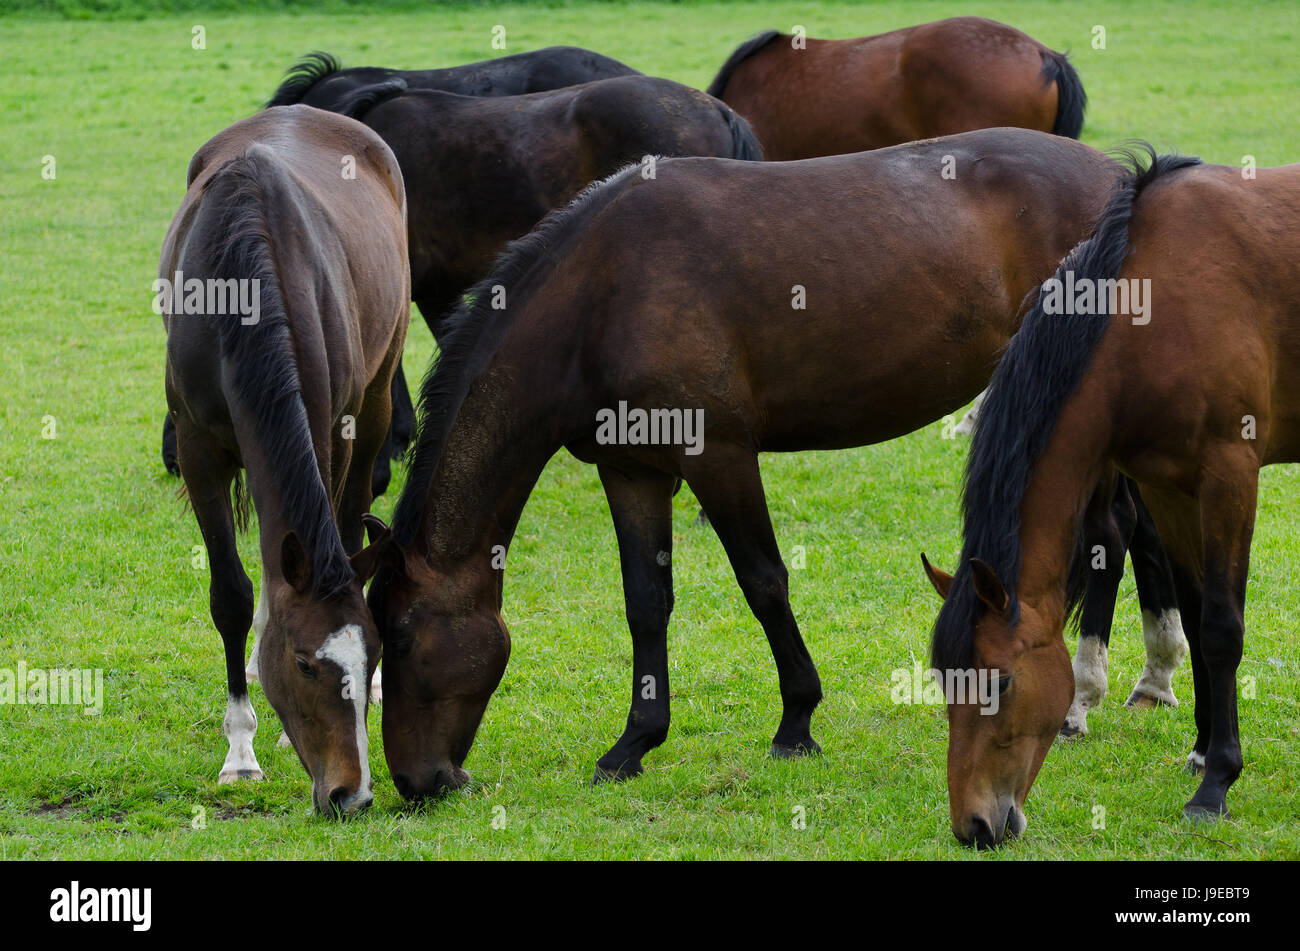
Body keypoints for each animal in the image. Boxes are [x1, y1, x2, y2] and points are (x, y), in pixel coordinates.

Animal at [160, 104, 409, 815]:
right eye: (303, 663)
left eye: (374, 655)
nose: (351, 794)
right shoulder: (196, 446)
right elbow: (233, 594)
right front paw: (240, 751)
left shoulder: (330, 428)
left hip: (375, 399)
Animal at [346, 128, 1177, 801]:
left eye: (405, 639)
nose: (418, 782)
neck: (601, 292)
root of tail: (1123, 181)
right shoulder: (633, 468)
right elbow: (645, 601)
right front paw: (634, 741)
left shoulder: (718, 454)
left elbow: (764, 581)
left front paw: (797, 720)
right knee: (1130, 530)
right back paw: (1149, 679)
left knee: (1111, 536)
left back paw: (1084, 699)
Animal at [923, 147, 1298, 847]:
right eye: (942, 682)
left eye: (1001, 681)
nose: (974, 827)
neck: (1150, 306)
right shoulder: (1166, 484)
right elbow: (1193, 610)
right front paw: (1203, 748)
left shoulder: (1230, 476)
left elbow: (1222, 627)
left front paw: (1216, 784)